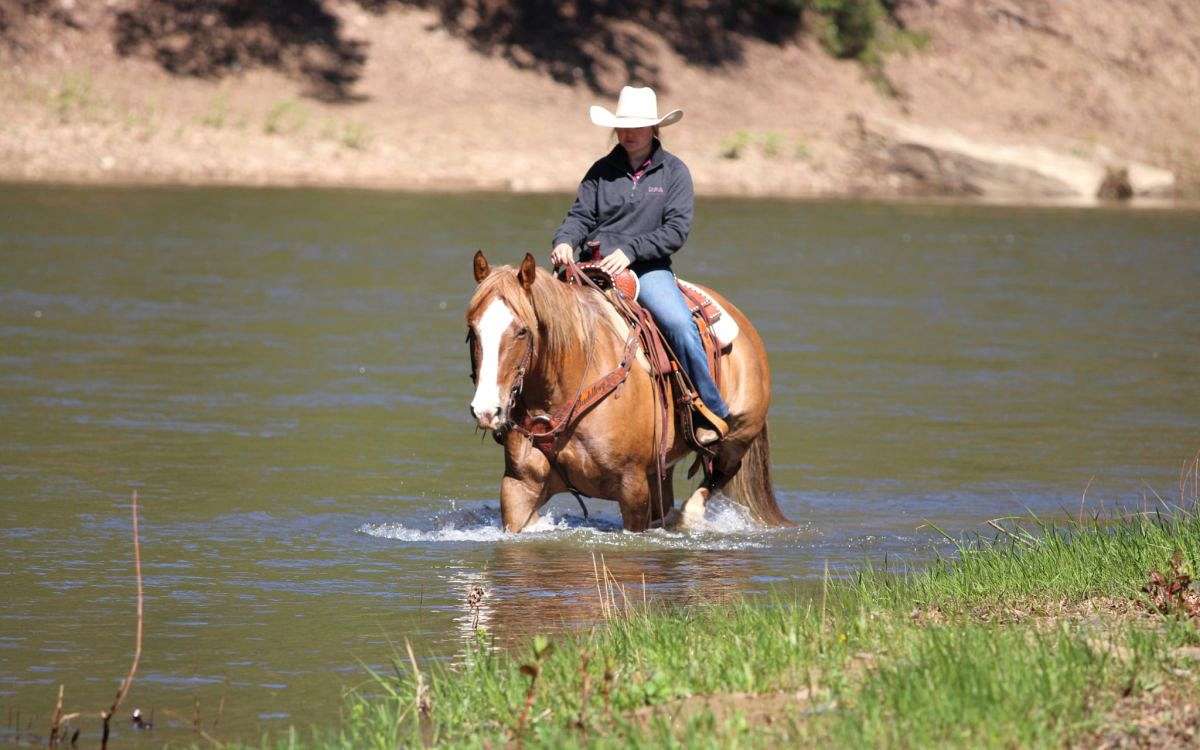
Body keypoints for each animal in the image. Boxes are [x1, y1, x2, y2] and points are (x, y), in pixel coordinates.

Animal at [466, 251, 789, 532]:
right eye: (472, 330)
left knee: (719, 473)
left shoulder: (632, 487)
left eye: (522, 331)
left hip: (739, 435)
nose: (486, 410)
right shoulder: (518, 486)